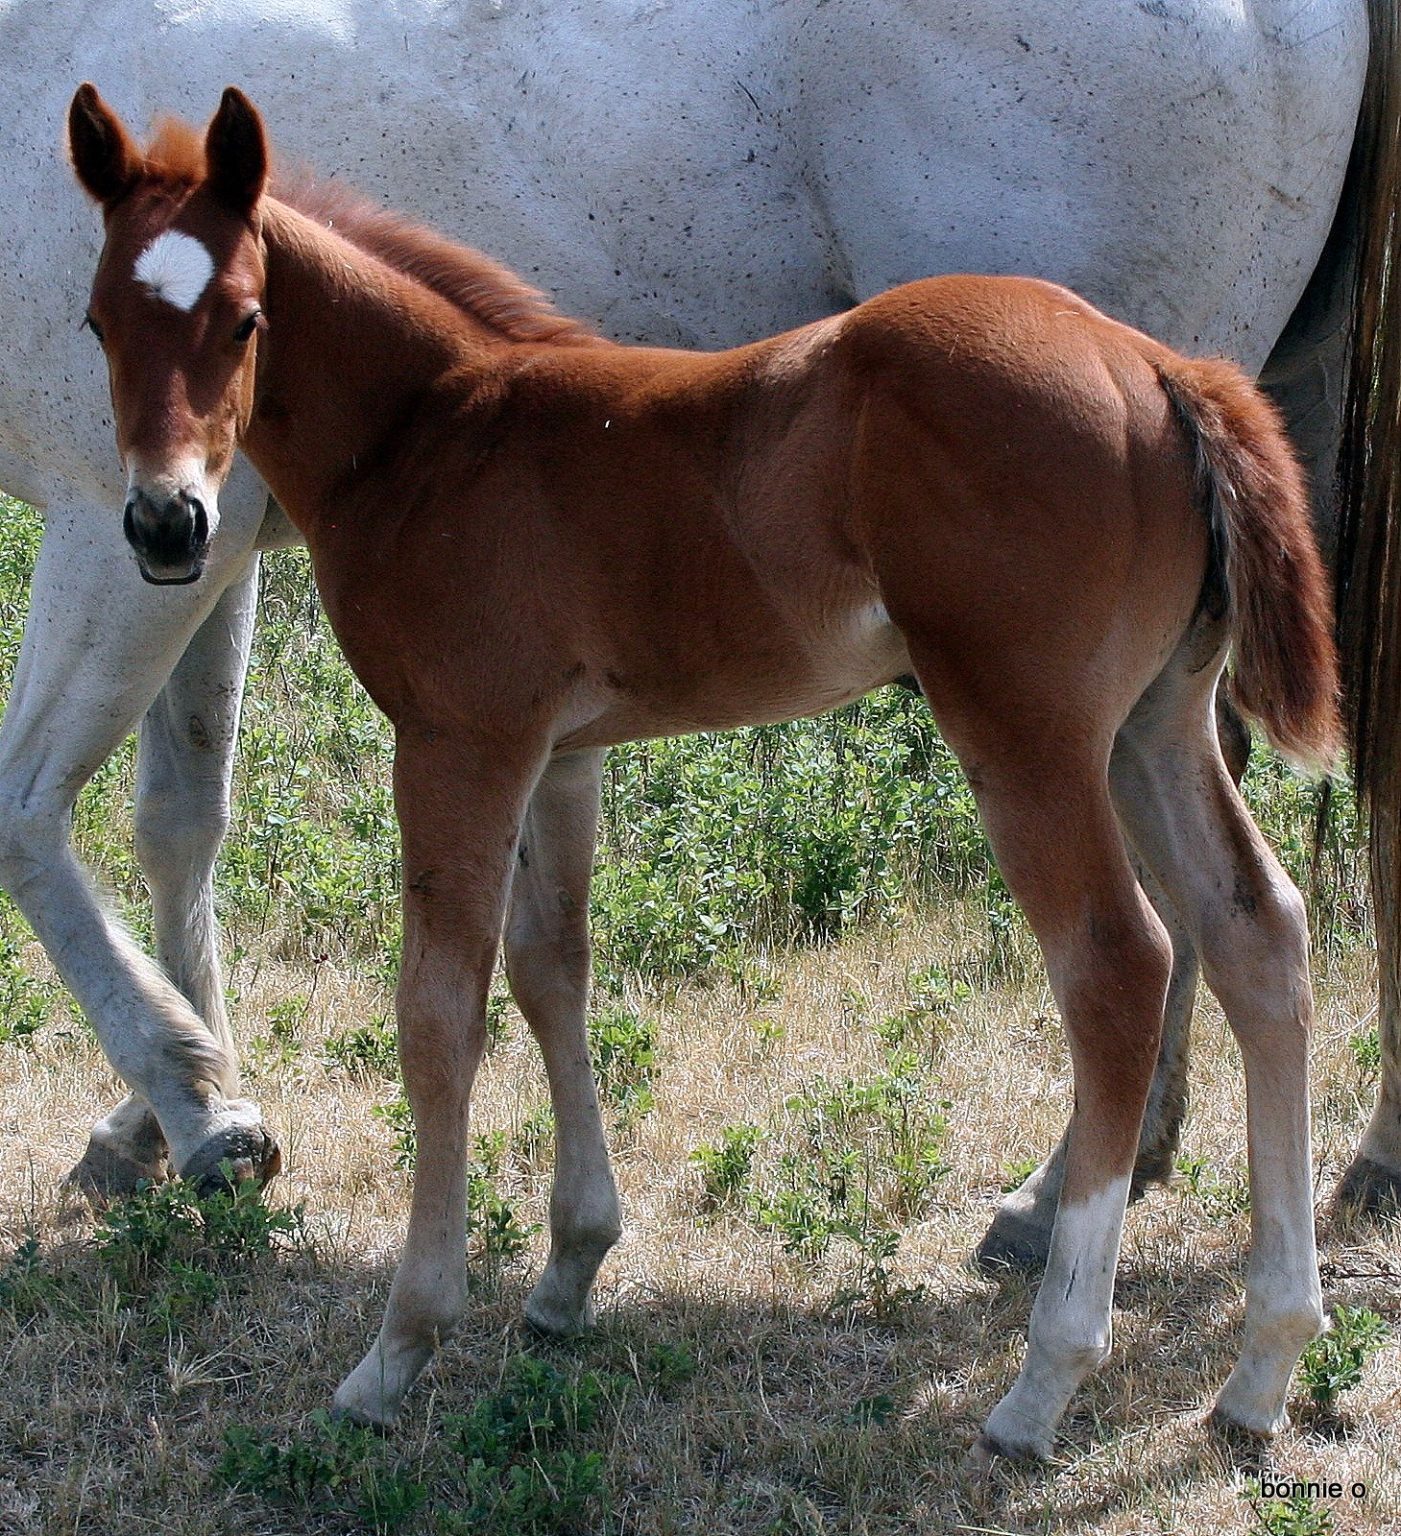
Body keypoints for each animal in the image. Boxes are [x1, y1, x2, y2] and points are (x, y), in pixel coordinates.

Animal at [67, 82, 1343, 1462]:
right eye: (97, 322)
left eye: (245, 318)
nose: (166, 523)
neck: (436, 431)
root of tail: (1158, 365)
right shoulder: (562, 755)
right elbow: (553, 973)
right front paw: (570, 1271)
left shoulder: (460, 740)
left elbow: (438, 1015)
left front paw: (400, 1345)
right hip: (1154, 723)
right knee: (1257, 929)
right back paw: (1264, 1366)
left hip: (1028, 731)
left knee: (1118, 966)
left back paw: (1046, 1378)